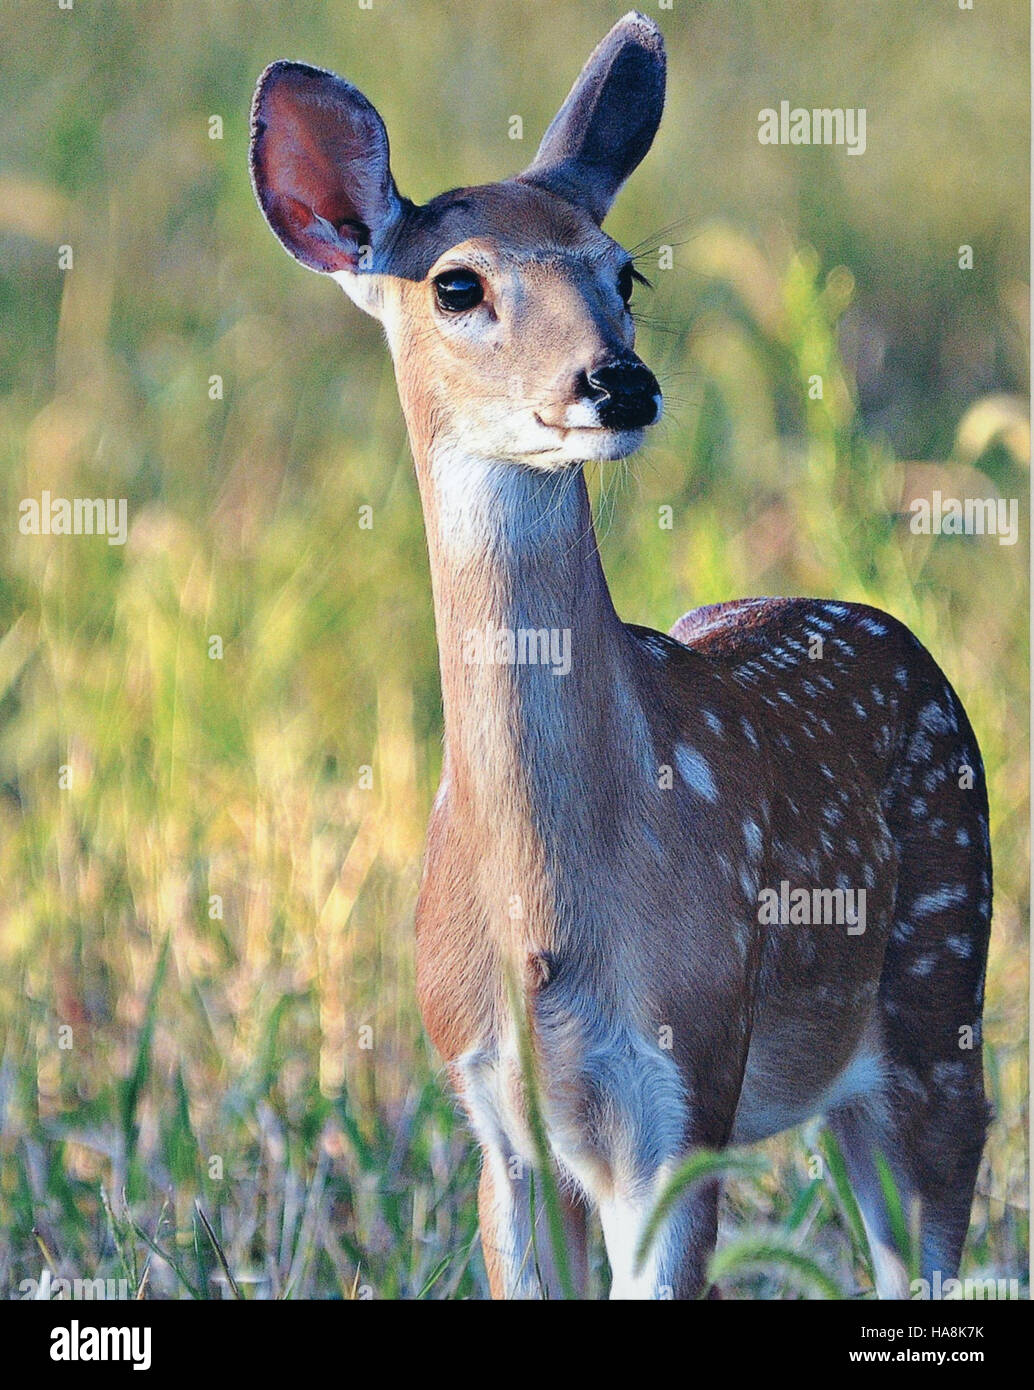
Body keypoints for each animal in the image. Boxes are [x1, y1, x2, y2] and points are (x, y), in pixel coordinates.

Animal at [249, 12, 992, 1300]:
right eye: (456, 283)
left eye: (623, 273)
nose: (617, 379)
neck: (545, 914)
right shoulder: (497, 1118)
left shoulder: (682, 1094)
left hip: (942, 989)